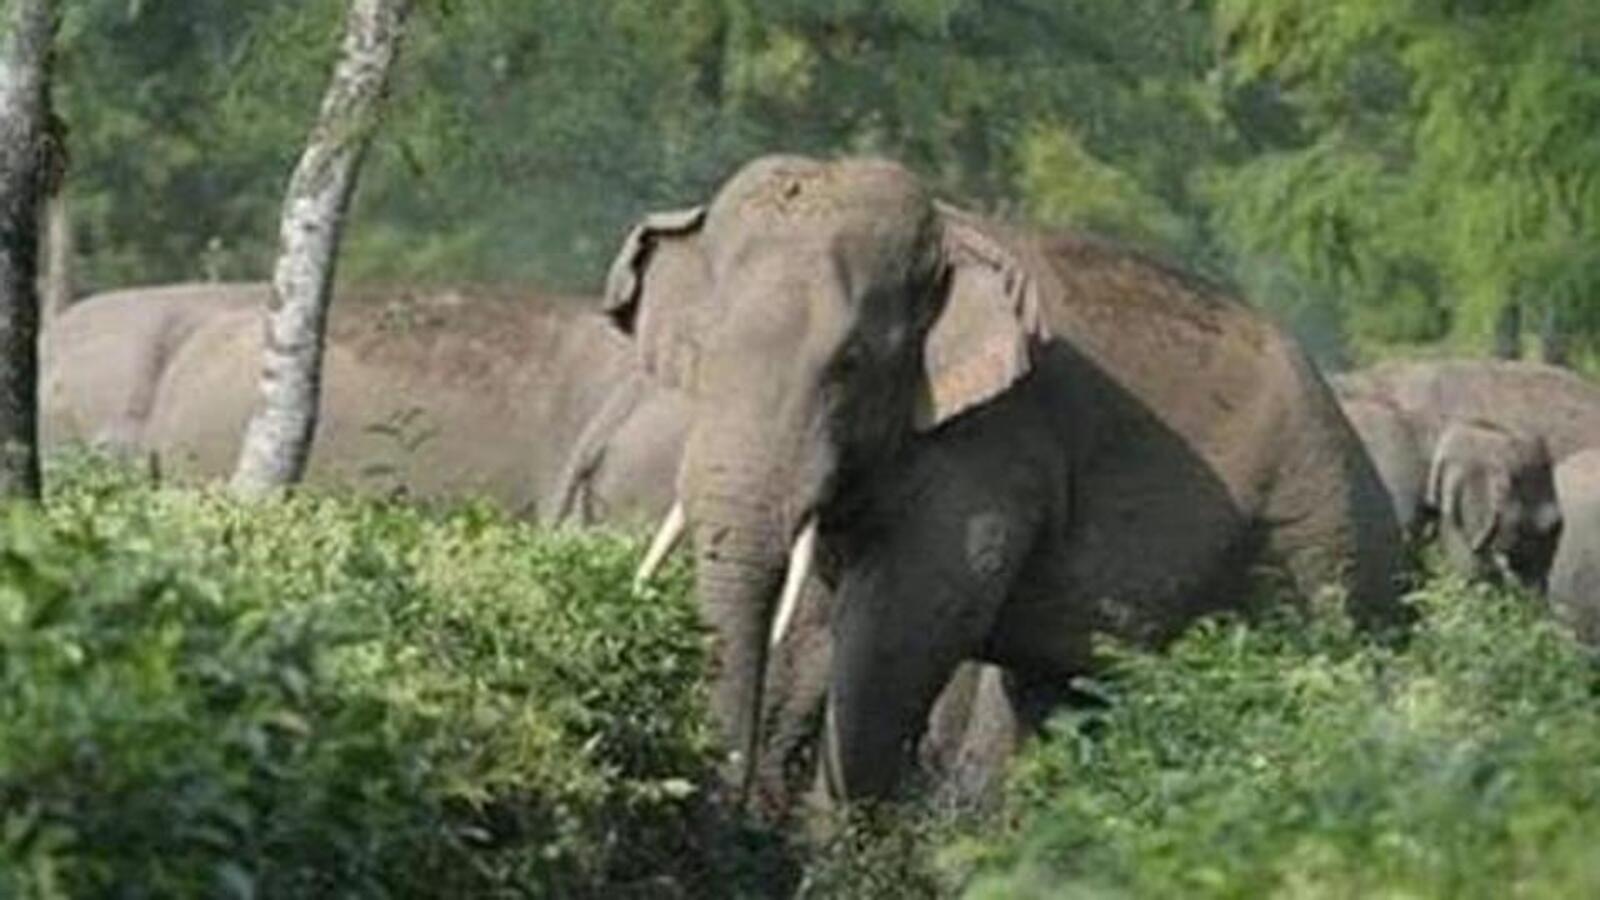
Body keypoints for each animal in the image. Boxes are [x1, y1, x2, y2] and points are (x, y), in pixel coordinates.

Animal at [613, 155, 1406, 804]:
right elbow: (818, 628)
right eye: (702, 350)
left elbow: (898, 634)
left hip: (1319, 555)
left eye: (849, 365)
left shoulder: (991, 448)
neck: (949, 232)